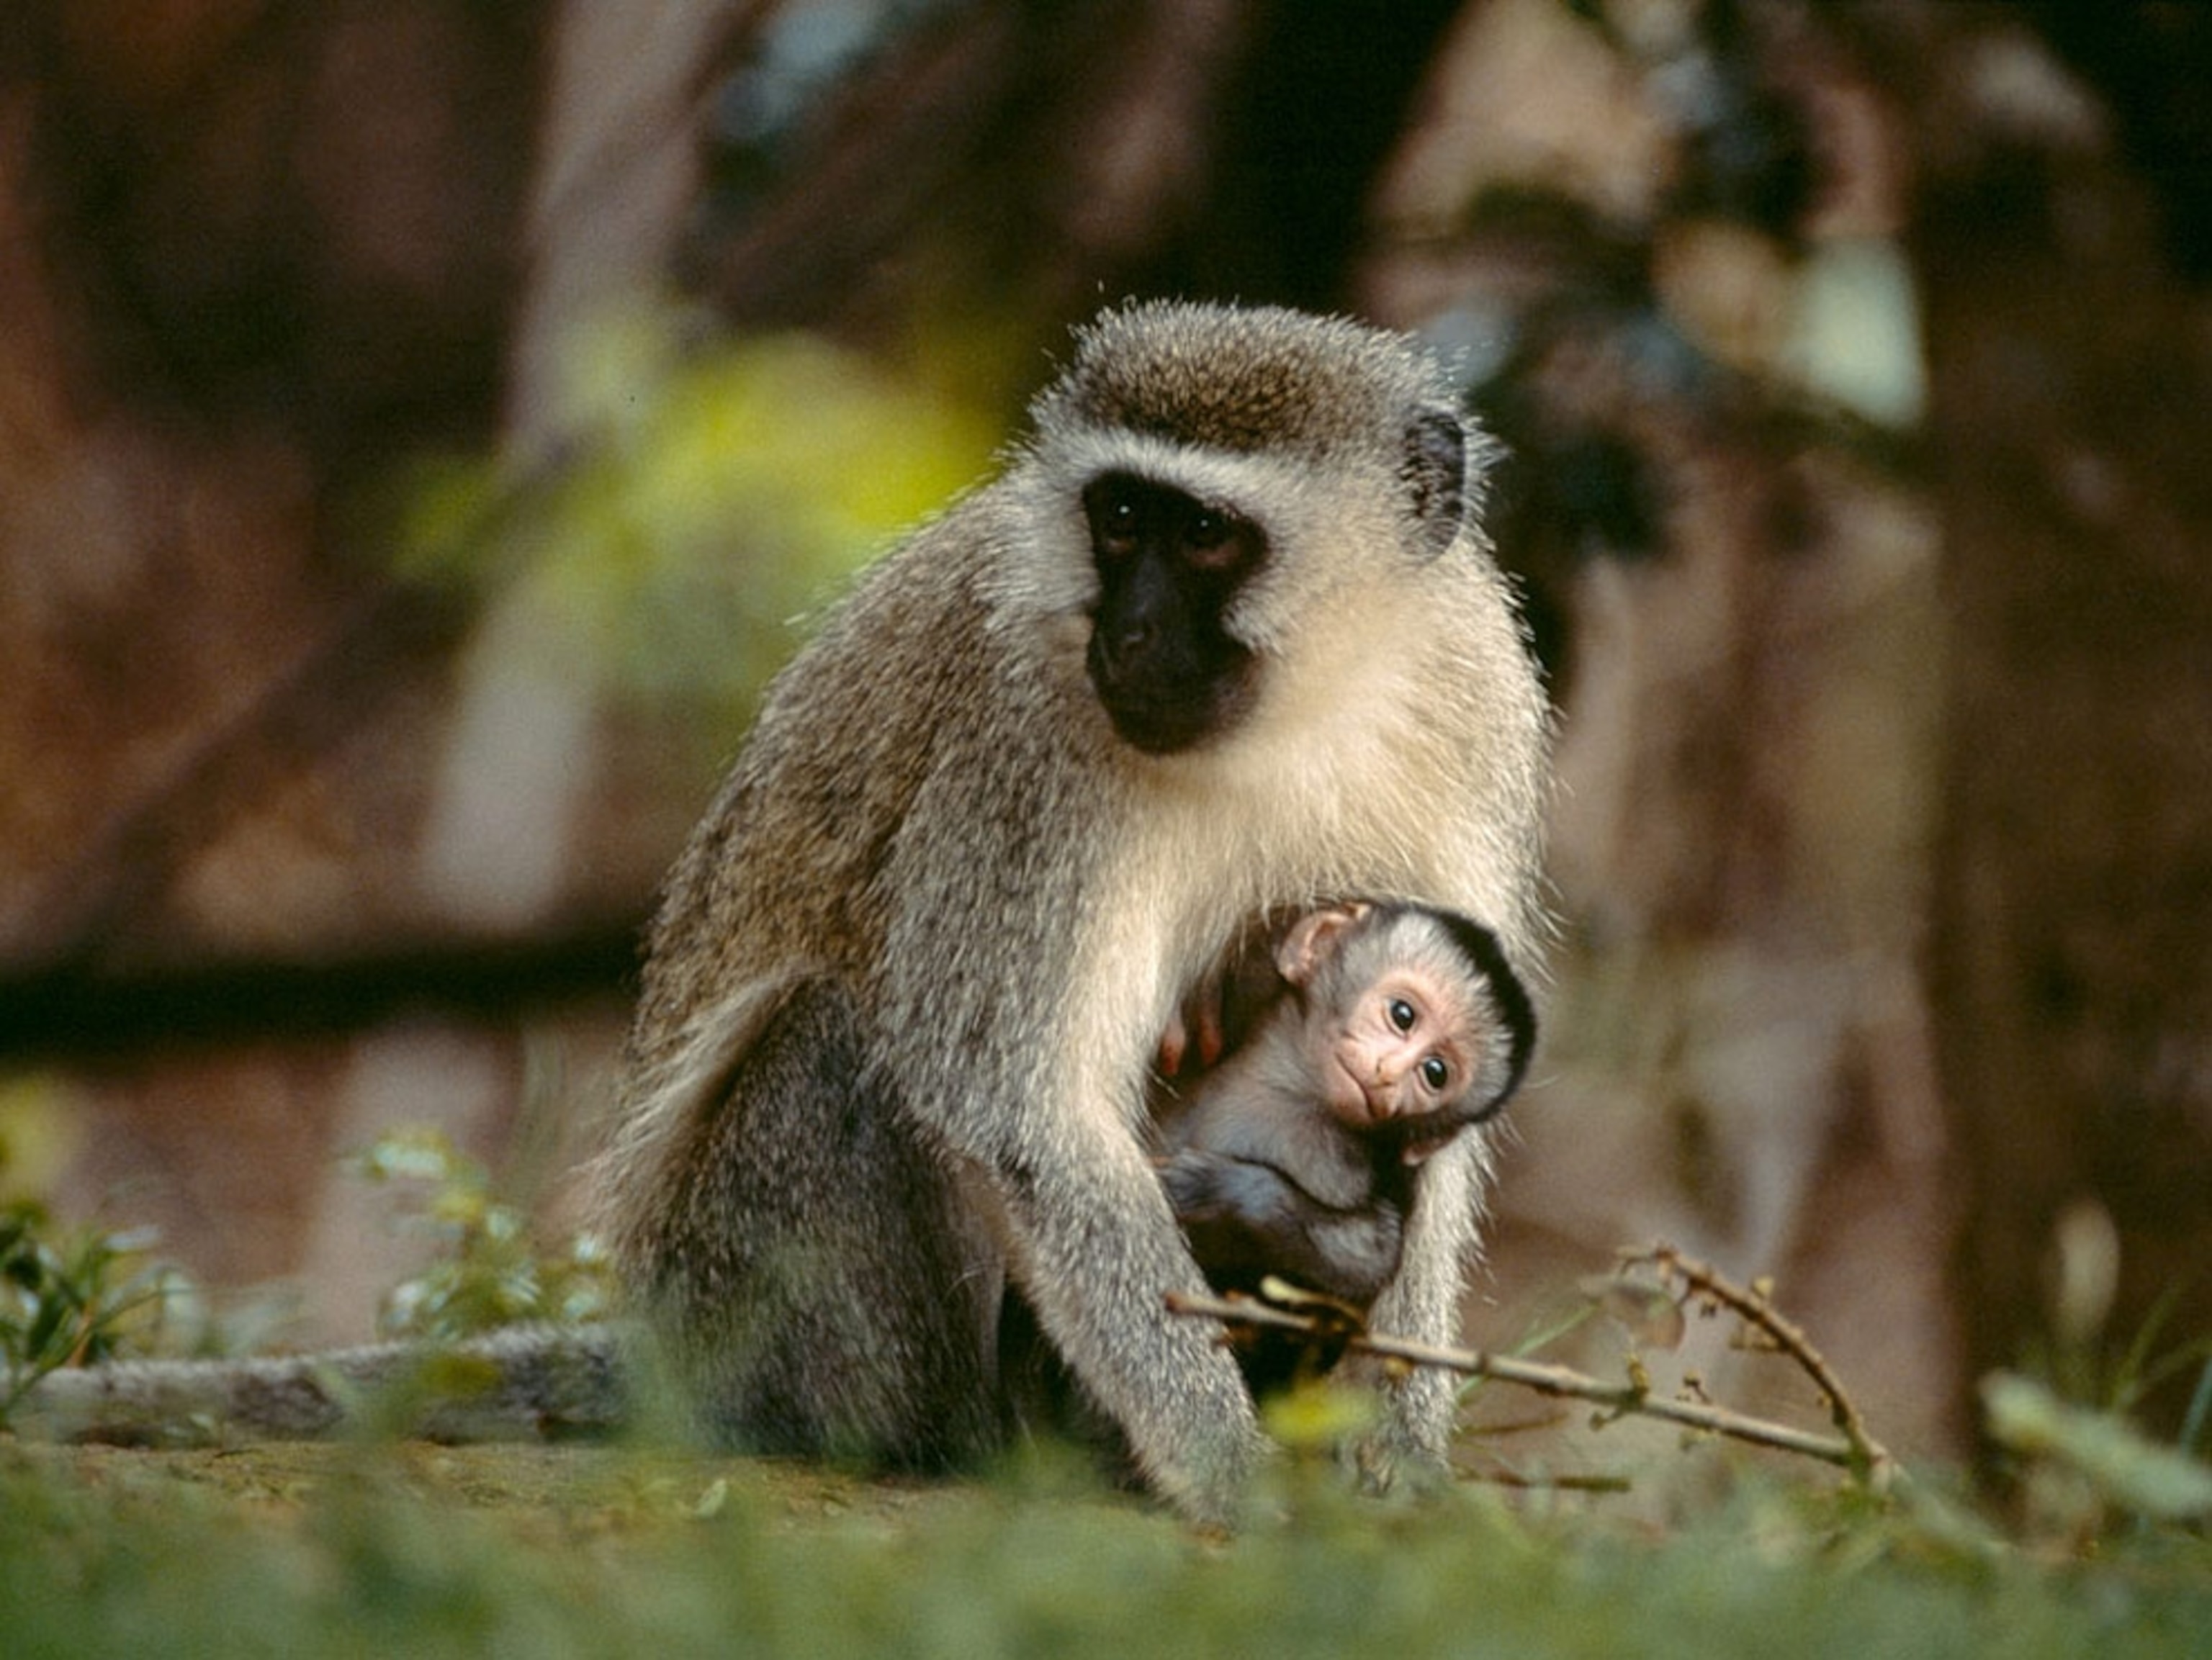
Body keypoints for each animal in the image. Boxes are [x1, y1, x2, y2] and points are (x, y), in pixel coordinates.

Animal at [1154, 901, 1536, 1315]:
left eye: (1435, 1073)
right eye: (1403, 1015)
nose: (1388, 1073)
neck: (1294, 1093)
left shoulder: (1344, 1167)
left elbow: (1370, 1257)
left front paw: (1219, 1189)